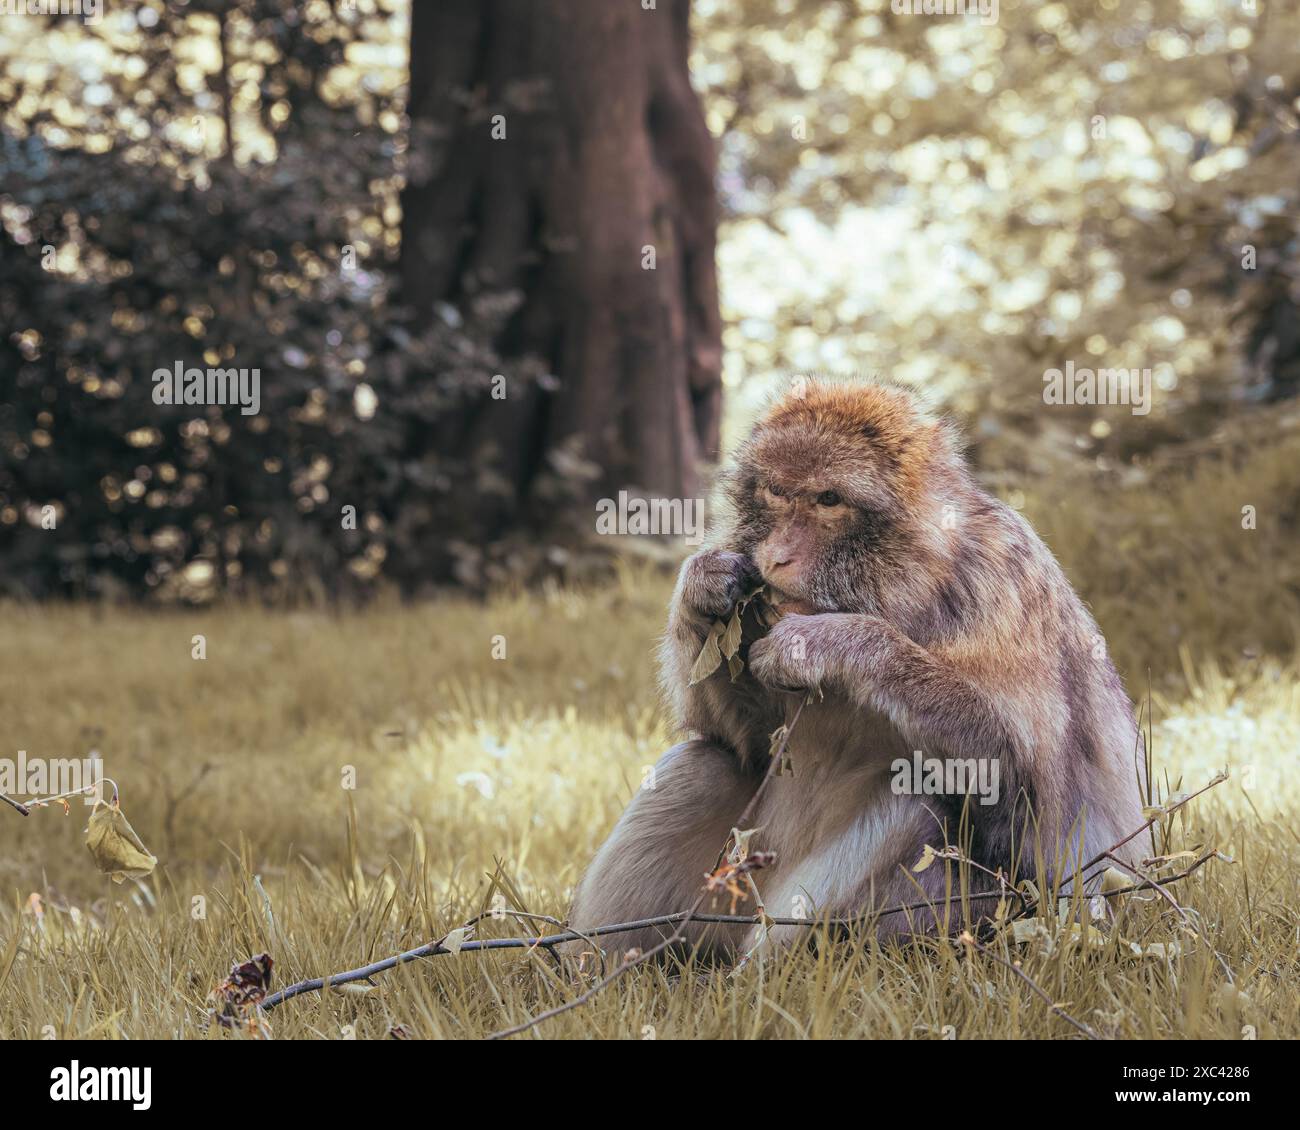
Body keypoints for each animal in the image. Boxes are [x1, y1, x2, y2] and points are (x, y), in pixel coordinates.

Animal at [568, 378, 1147, 960]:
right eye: (776, 492)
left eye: (829, 500)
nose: (775, 557)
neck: (907, 587)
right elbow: (748, 745)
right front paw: (703, 585)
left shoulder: (1000, 582)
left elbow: (1025, 780)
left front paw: (831, 644)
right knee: (702, 764)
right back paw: (599, 963)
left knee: (920, 791)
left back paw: (763, 975)